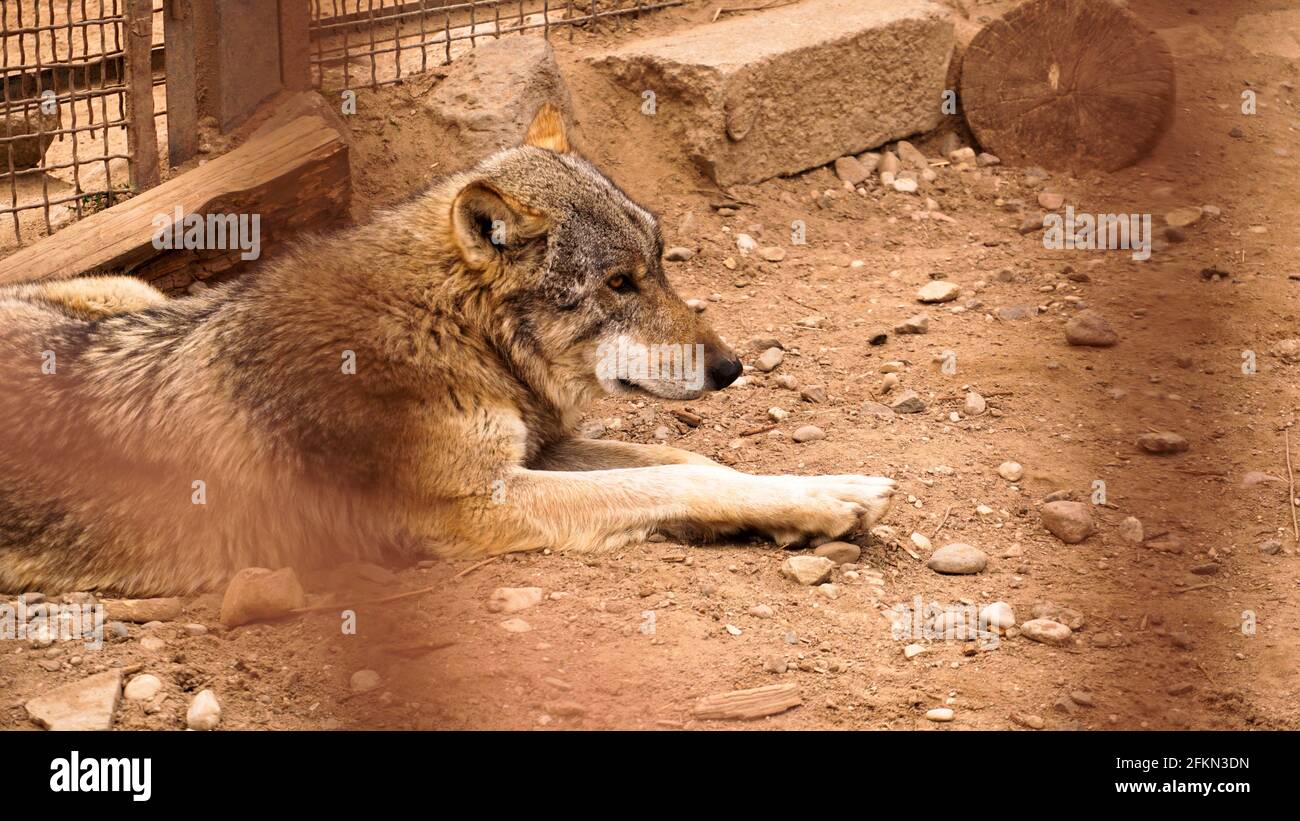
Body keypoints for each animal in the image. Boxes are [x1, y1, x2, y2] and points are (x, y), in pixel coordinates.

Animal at [0, 104, 895, 596]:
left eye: (662, 259)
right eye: (619, 282)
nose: (731, 367)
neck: (449, 333)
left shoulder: (538, 449)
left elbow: (696, 464)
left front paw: (820, 491)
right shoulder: (481, 506)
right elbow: (671, 481)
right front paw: (820, 502)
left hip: (136, 294)